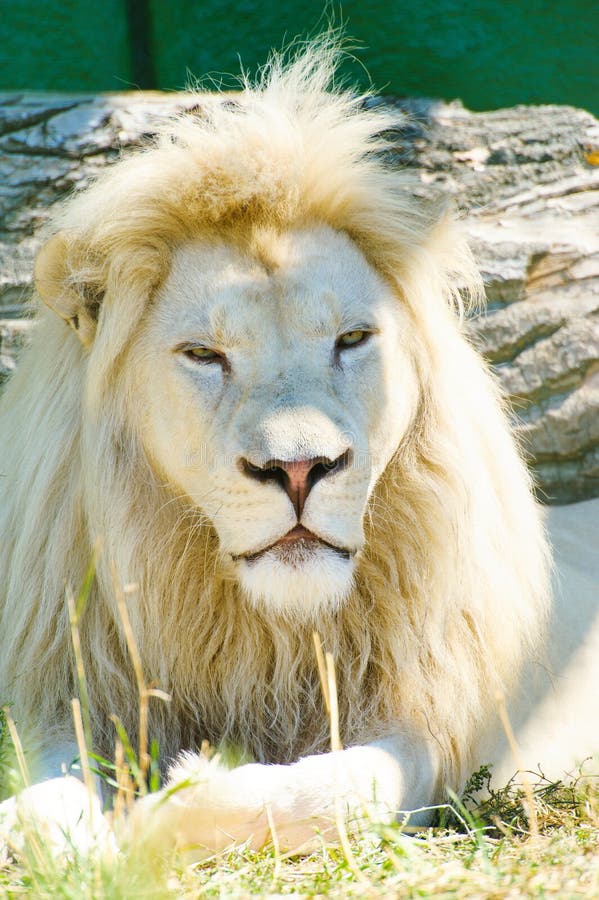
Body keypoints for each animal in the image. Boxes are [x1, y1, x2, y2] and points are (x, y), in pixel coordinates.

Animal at [0, 43, 596, 857]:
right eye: (204, 354)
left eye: (352, 339)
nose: (298, 469)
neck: (271, 630)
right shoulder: (75, 685)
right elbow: (46, 790)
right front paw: (62, 839)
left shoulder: (438, 724)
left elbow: (335, 785)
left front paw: (171, 807)